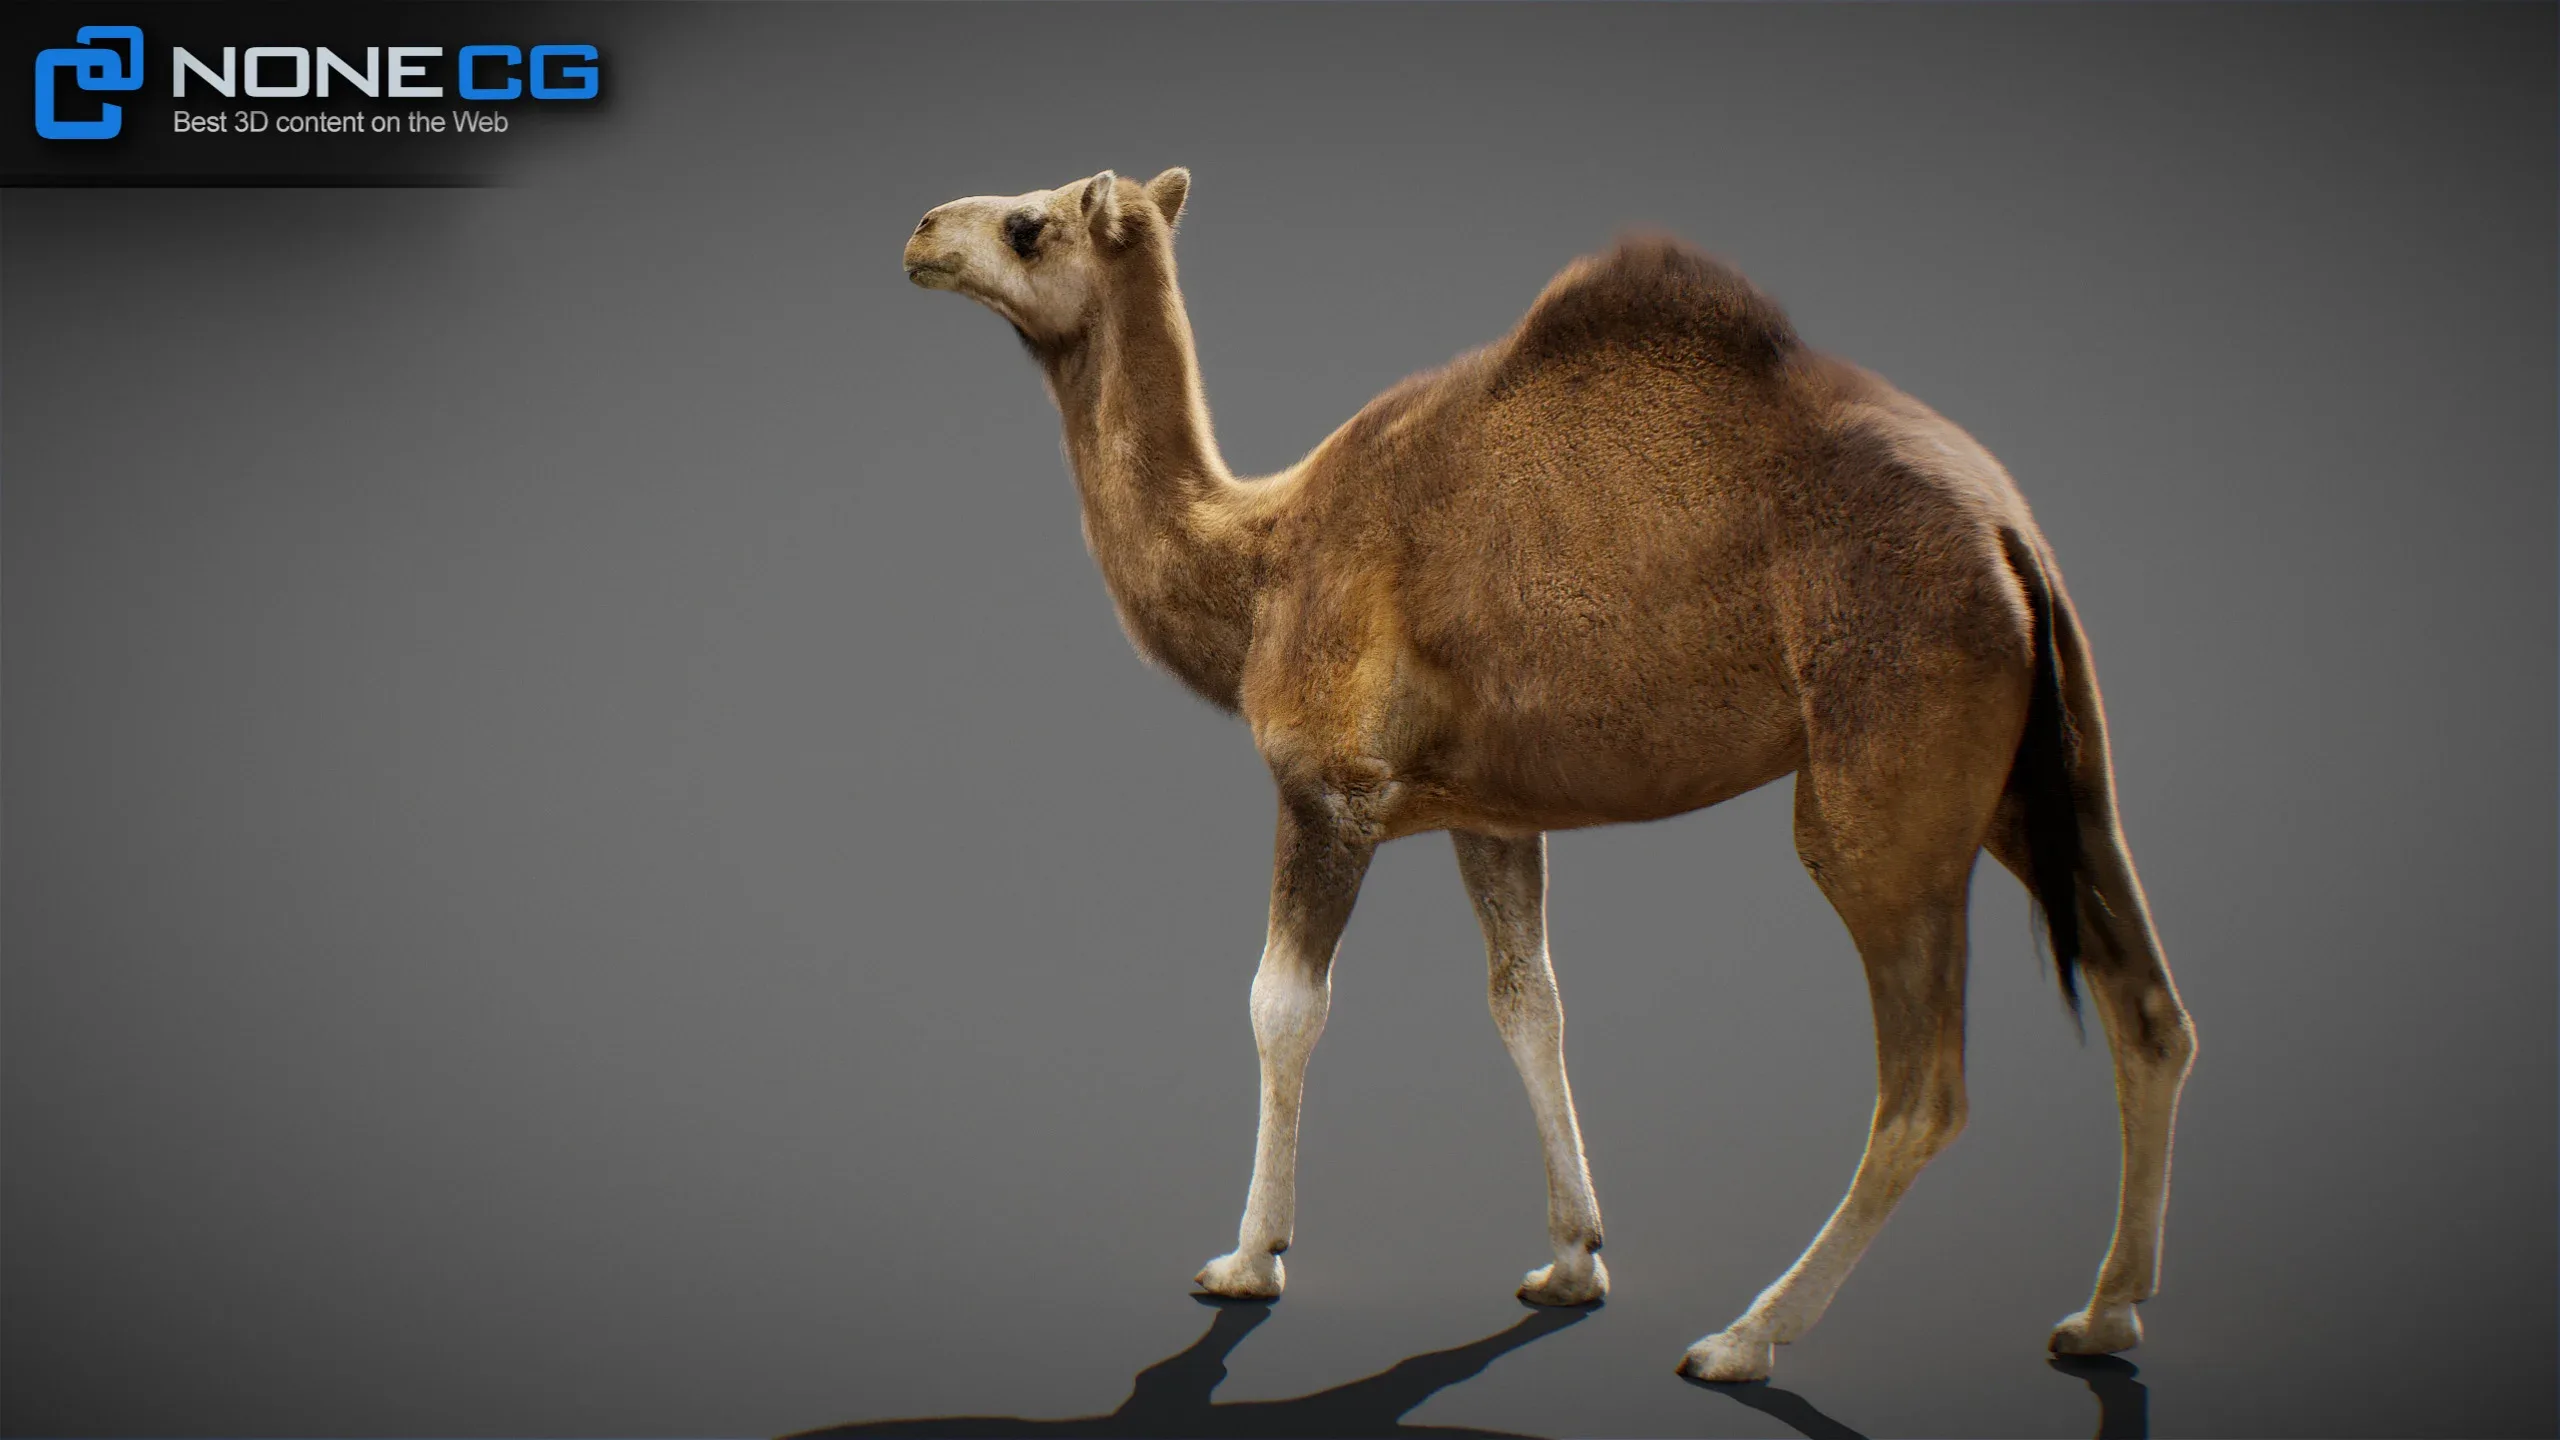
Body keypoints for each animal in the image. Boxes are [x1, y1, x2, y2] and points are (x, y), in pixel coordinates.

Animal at [900, 167, 2197, 1383]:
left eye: (1028, 225)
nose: (919, 234)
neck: (1262, 560)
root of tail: (2010, 540)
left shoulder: (1329, 787)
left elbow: (1282, 1007)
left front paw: (1247, 1259)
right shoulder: (1488, 812)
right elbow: (1529, 1002)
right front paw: (1574, 1257)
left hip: (1886, 776)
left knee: (1924, 1083)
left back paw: (1746, 1336)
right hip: (2046, 777)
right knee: (2147, 1007)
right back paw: (2101, 1317)